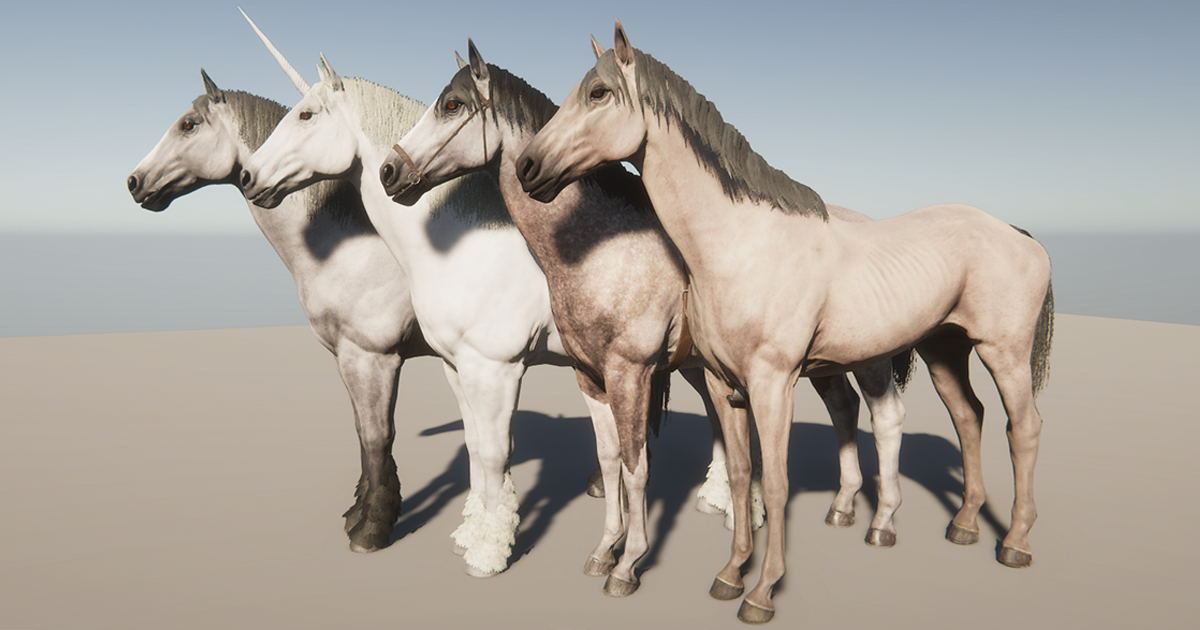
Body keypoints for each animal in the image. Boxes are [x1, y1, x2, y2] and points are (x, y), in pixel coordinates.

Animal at [127, 68, 434, 554]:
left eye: (188, 125)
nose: (134, 182)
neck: (353, 248)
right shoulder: (348, 360)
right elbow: (361, 434)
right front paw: (358, 511)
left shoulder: (373, 359)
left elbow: (376, 436)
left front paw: (371, 529)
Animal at [378, 39, 910, 596]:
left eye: (452, 105)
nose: (390, 171)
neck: (599, 248)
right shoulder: (589, 375)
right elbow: (610, 460)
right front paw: (603, 549)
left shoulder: (627, 372)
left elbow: (635, 467)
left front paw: (628, 562)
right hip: (812, 366)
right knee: (842, 410)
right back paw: (840, 507)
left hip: (865, 359)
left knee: (885, 417)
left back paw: (878, 522)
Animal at [518, 21, 1054, 623]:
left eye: (598, 93)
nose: (527, 168)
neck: (740, 246)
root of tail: (1019, 234)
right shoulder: (721, 384)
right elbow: (740, 474)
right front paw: (730, 575)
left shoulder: (773, 383)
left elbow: (774, 483)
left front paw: (762, 592)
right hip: (945, 350)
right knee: (969, 417)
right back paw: (962, 524)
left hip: (1002, 353)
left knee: (1022, 428)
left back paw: (1014, 542)